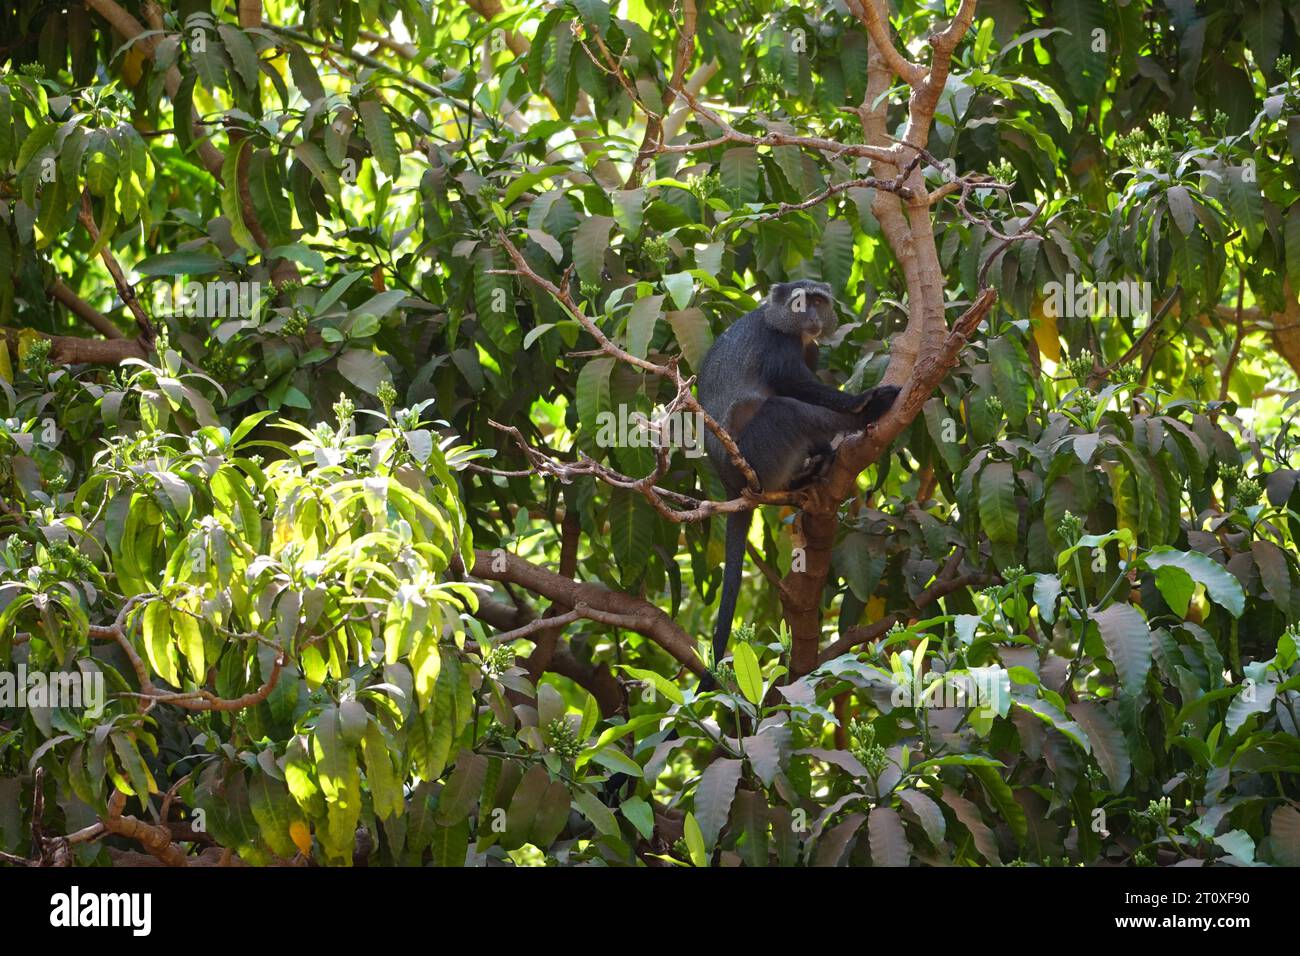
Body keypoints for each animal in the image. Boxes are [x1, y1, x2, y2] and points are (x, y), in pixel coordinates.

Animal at [696, 279, 900, 672]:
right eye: (799, 302)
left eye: (818, 302)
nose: (812, 318)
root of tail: (732, 484)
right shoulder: (779, 345)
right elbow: (794, 384)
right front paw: (860, 401)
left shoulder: (810, 350)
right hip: (759, 453)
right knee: (785, 410)